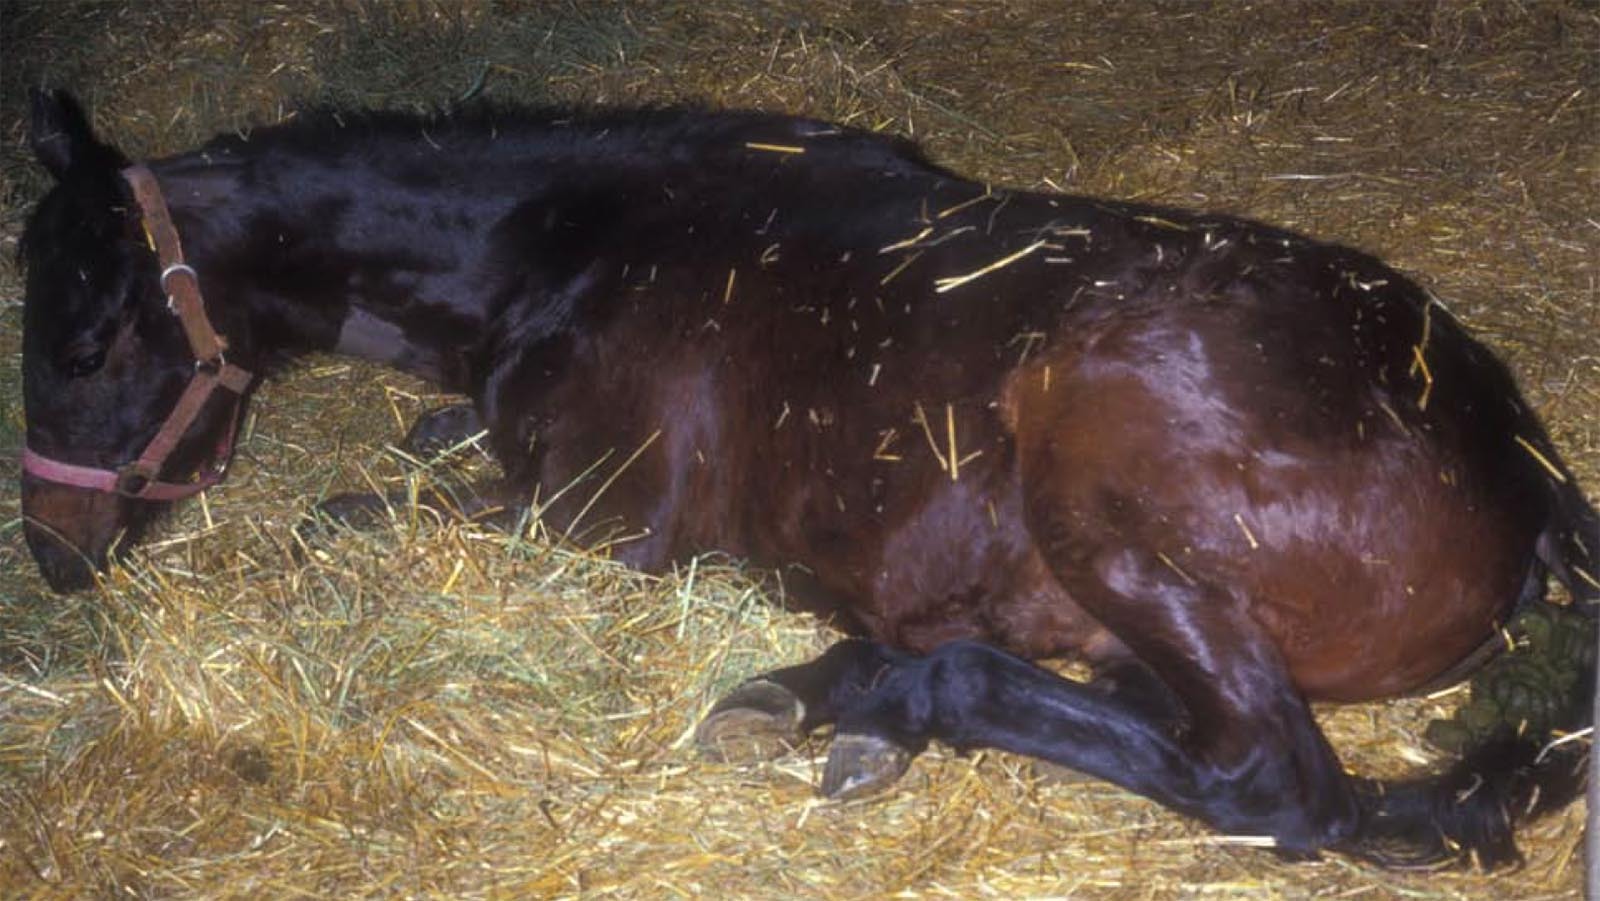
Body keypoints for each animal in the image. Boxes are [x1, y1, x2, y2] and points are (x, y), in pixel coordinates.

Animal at [18, 88, 1598, 869]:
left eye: (86, 343)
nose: (49, 551)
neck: (575, 238)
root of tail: (1526, 473)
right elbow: (407, 457)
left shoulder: (595, 512)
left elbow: (334, 519)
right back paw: (847, 695)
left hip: (1104, 472)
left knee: (1273, 780)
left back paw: (876, 692)